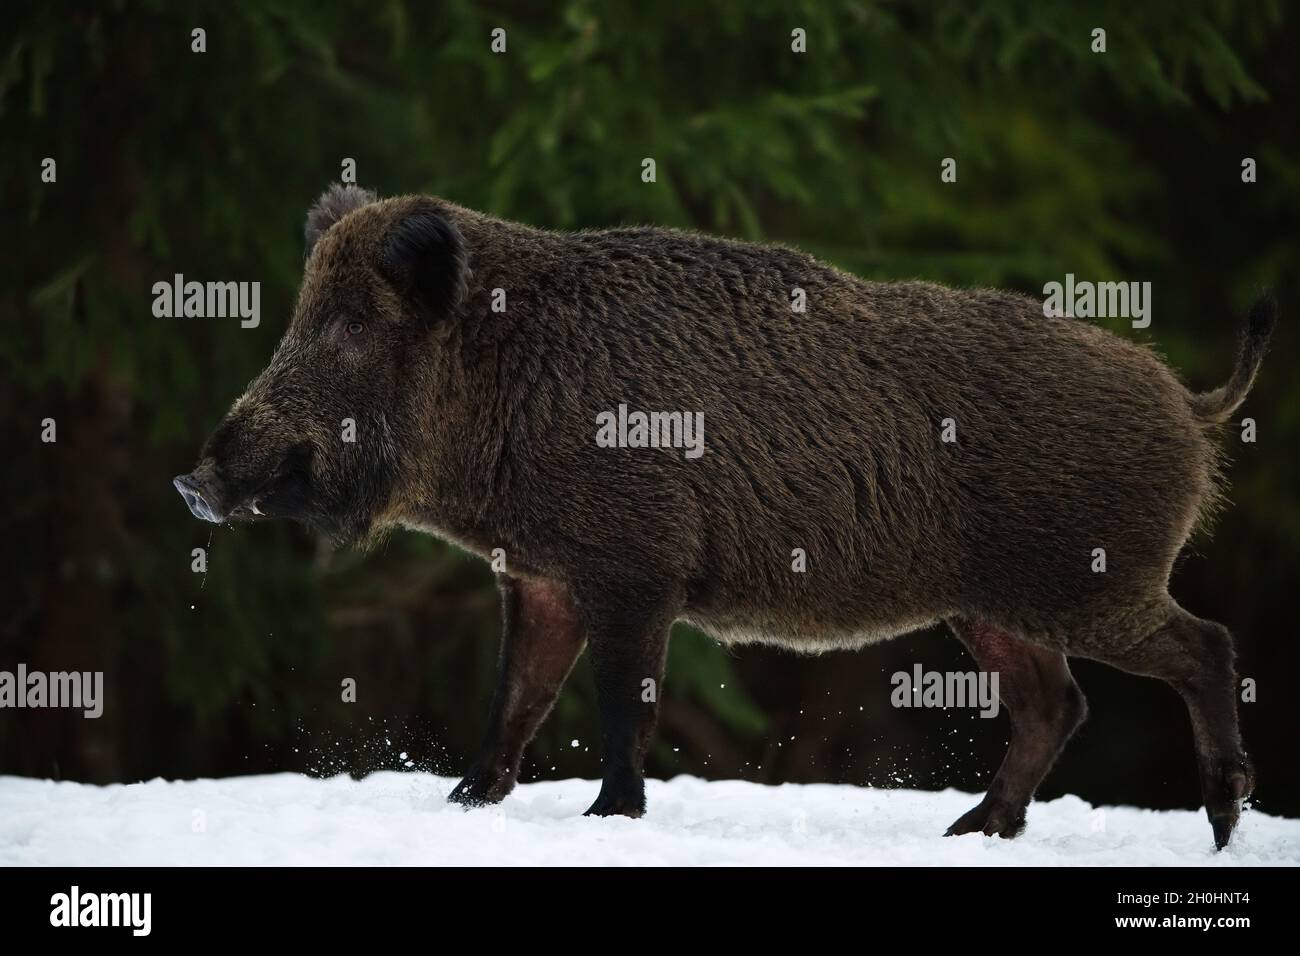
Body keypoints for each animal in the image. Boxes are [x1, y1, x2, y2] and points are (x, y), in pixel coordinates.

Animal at [176, 184, 1274, 848]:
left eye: (354, 325)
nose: (193, 480)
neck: (509, 377)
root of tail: (1190, 404)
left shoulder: (636, 567)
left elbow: (624, 703)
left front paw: (609, 817)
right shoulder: (540, 575)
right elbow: (514, 699)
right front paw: (465, 801)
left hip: (1091, 579)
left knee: (1206, 645)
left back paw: (1222, 820)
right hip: (992, 605)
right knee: (1058, 701)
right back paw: (971, 832)